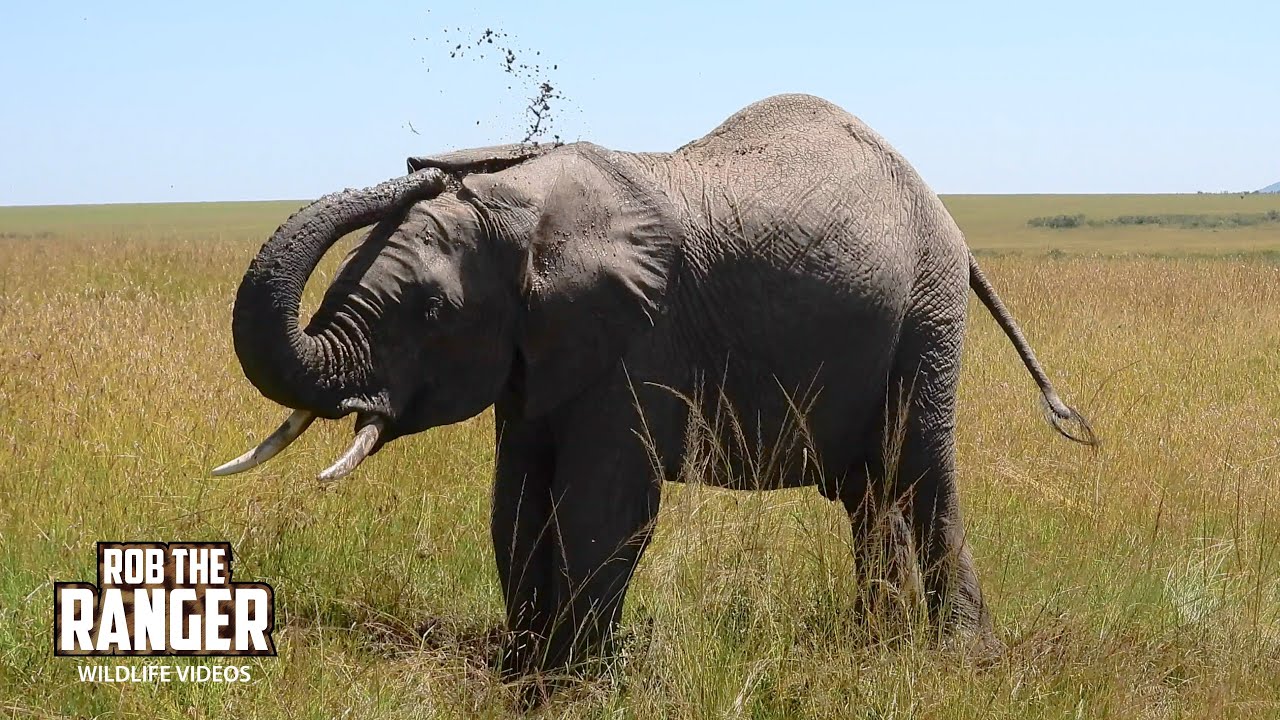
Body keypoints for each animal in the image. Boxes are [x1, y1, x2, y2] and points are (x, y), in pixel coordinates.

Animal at [213, 93, 1095, 678]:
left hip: (928, 315)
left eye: (431, 311)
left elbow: (606, 505)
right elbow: (516, 500)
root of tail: (943, 215)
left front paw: (571, 682)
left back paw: (960, 661)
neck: (531, 211)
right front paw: (524, 667)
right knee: (869, 496)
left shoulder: (642, 341)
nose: (427, 167)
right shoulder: (541, 354)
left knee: (920, 475)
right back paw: (873, 648)